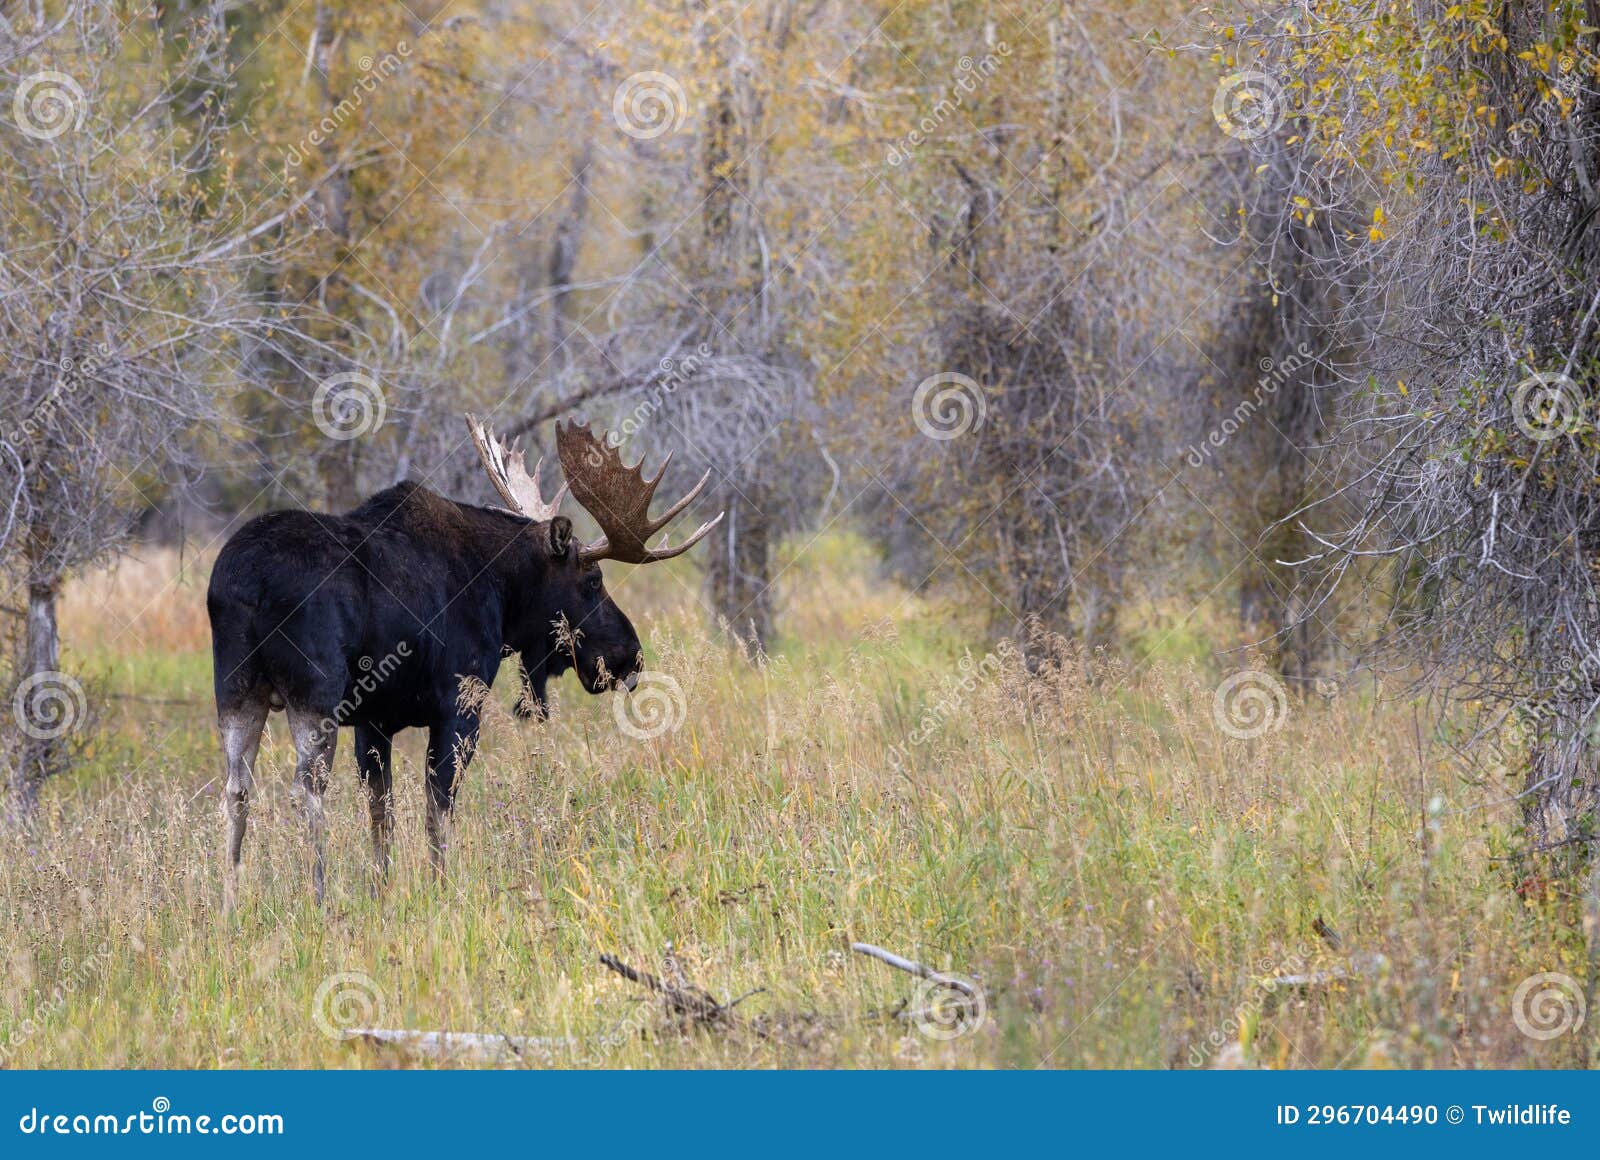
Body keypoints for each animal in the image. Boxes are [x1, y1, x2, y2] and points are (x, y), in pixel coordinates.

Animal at [205, 416, 721, 908]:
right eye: (592, 580)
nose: (630, 655)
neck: (503, 591)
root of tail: (247, 585)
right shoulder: (459, 704)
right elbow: (438, 808)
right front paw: (440, 888)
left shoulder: (374, 721)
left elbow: (382, 813)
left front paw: (382, 893)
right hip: (315, 694)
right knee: (305, 791)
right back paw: (318, 898)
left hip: (236, 690)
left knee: (236, 790)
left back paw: (230, 906)